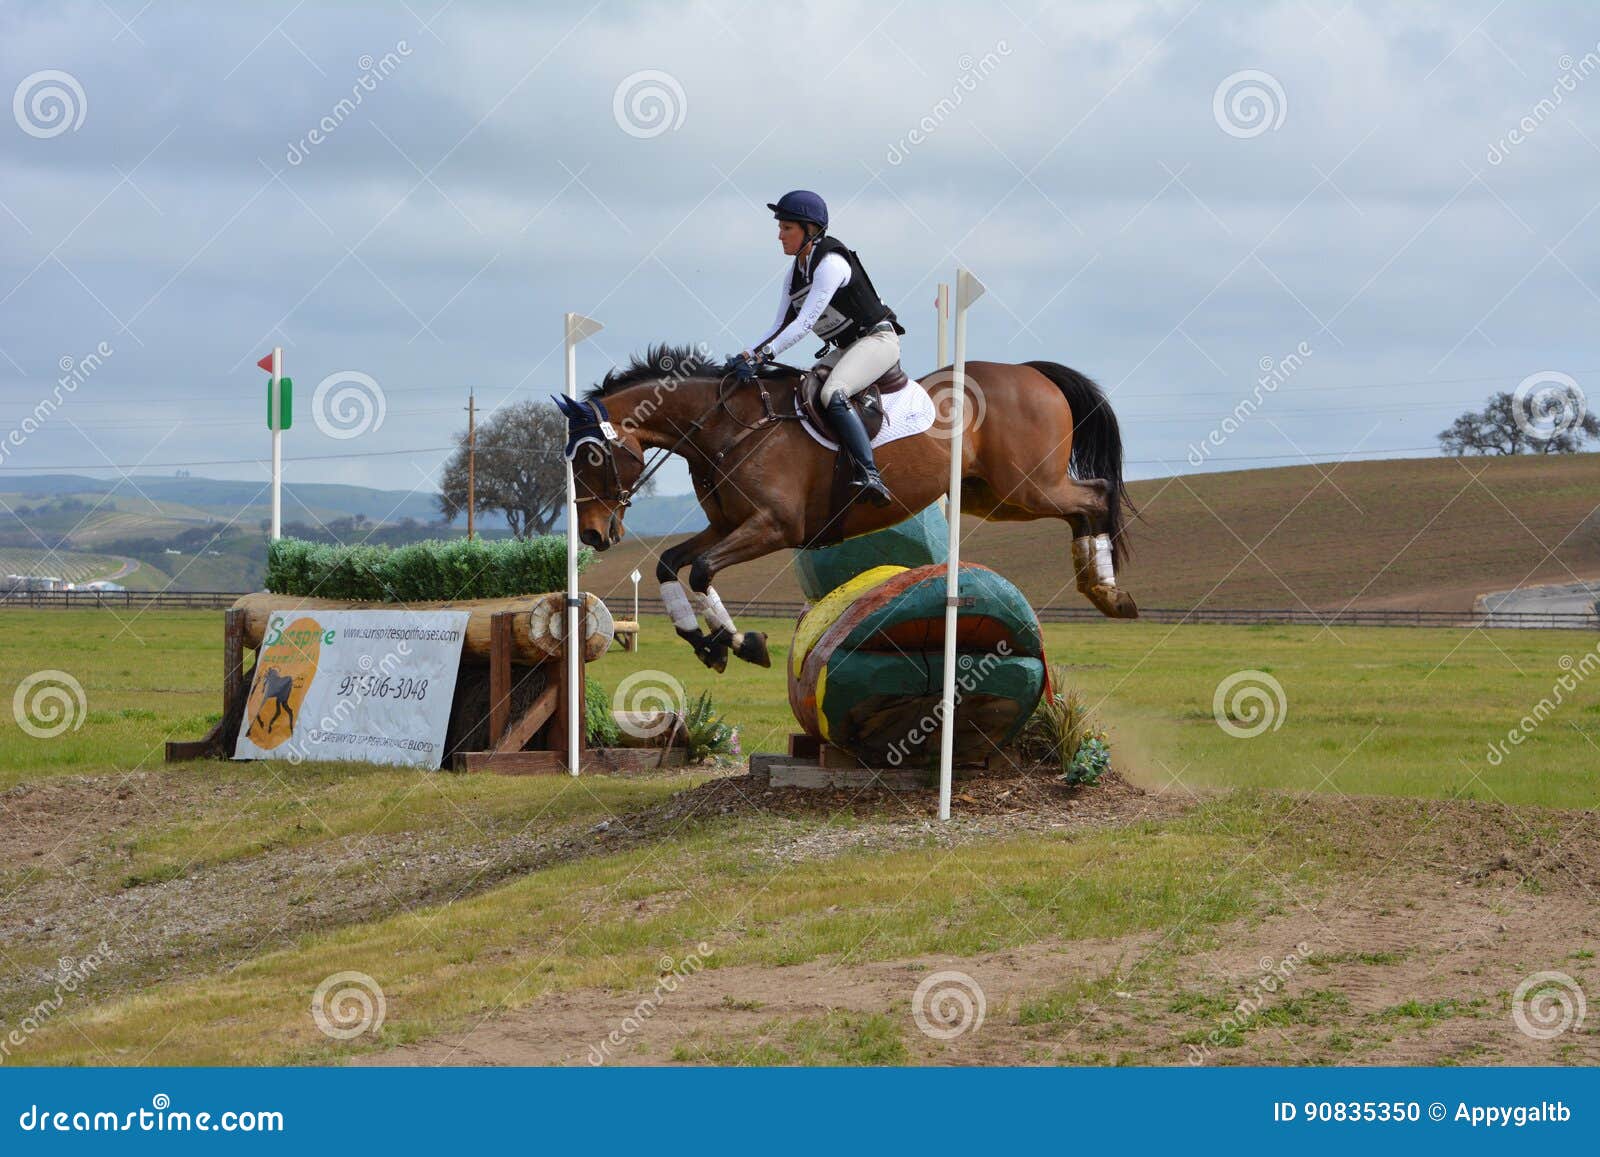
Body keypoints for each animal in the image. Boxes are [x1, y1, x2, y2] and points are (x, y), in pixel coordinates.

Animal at [556, 345, 1137, 672]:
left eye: (591, 456)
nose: (592, 536)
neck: (725, 428)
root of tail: (1031, 373)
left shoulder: (773, 527)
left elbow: (698, 569)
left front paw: (740, 643)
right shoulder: (727, 525)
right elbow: (669, 564)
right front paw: (707, 643)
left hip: (1028, 486)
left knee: (1097, 494)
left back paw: (1111, 594)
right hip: (994, 497)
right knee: (1081, 510)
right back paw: (1099, 586)